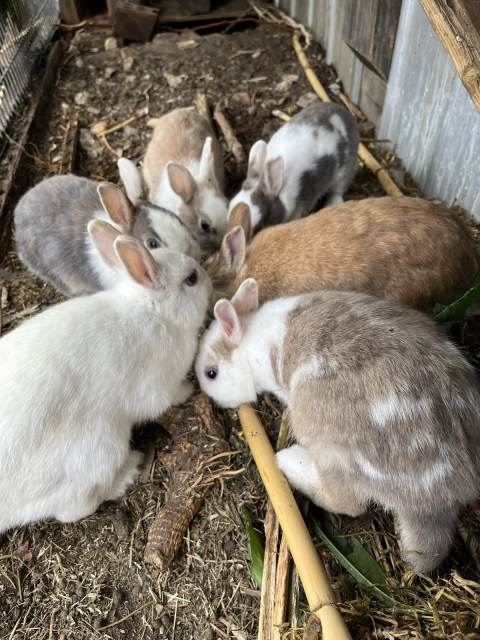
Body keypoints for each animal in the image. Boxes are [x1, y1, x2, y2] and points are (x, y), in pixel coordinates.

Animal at [0, 220, 211, 535]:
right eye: (192, 279)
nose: (209, 278)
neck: (153, 311)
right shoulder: (159, 386)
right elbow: (168, 397)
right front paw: (188, 390)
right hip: (101, 450)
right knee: (75, 509)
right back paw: (129, 472)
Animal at [196, 278, 480, 573]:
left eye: (211, 373)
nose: (211, 397)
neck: (250, 337)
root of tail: (441, 498)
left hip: (334, 451)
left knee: (347, 502)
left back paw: (289, 461)